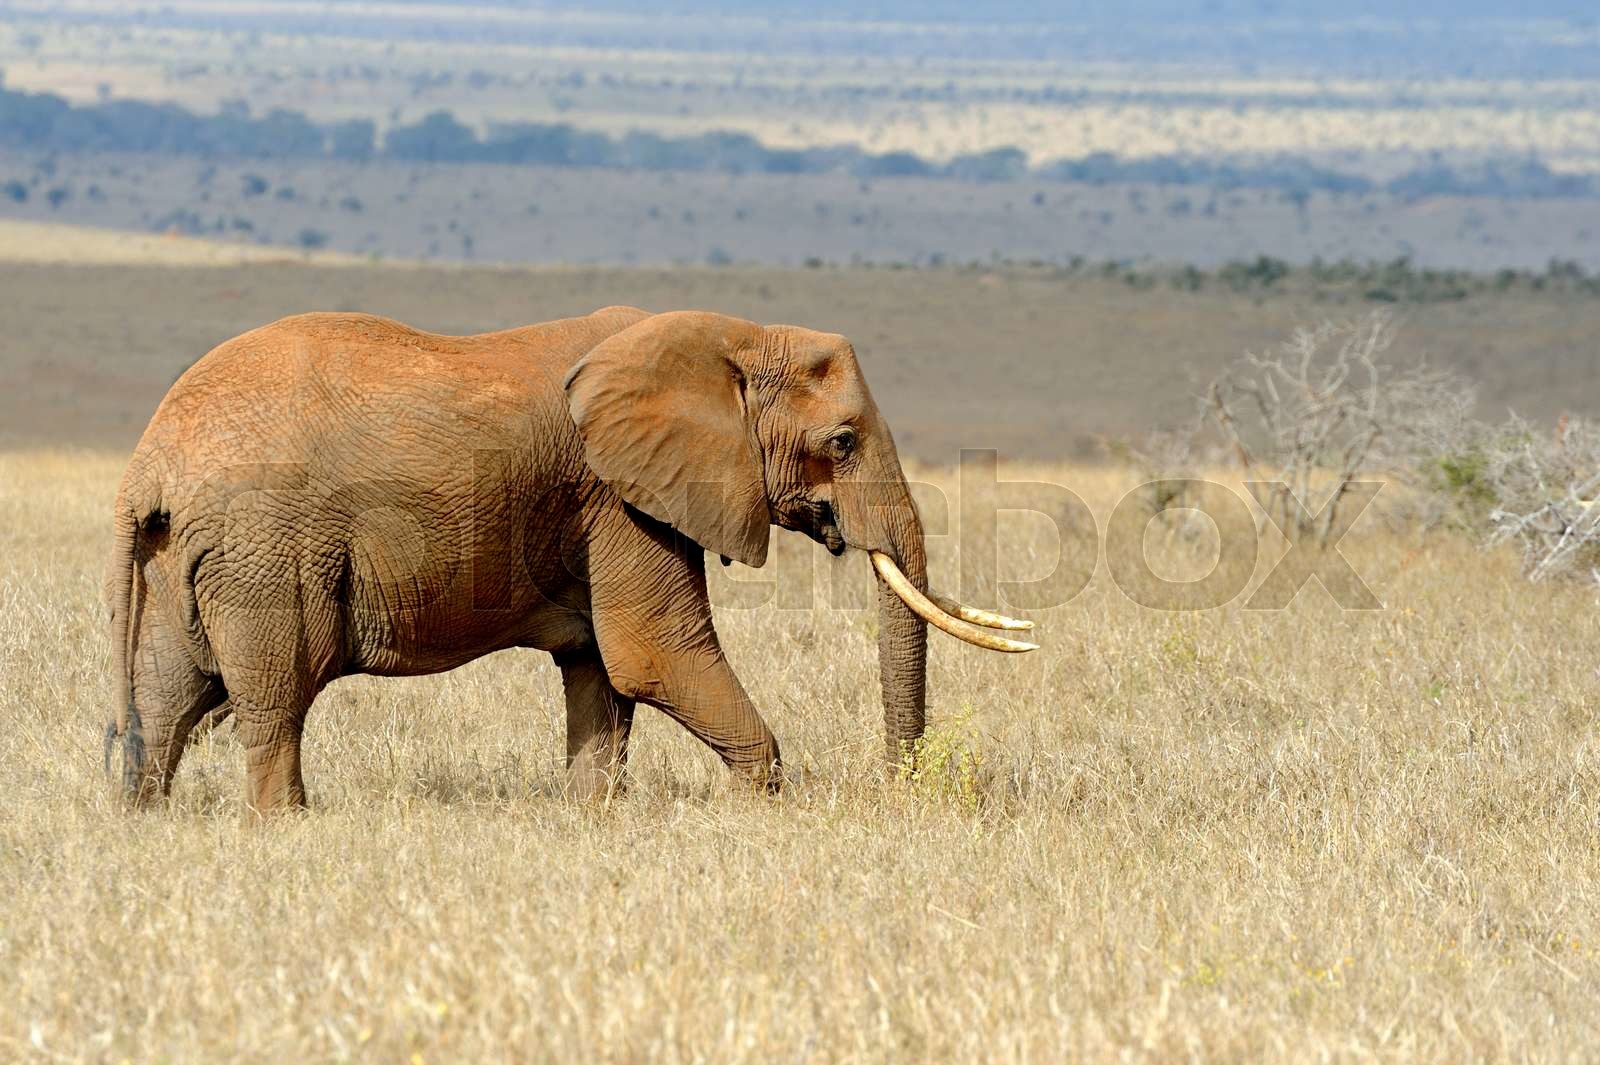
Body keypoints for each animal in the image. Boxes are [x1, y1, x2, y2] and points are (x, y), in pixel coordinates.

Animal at [105, 305, 1036, 811]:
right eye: (840, 442)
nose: (900, 788)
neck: (733, 335)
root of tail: (151, 458)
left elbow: (603, 676)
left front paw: (595, 818)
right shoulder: (619, 496)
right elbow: (655, 655)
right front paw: (759, 809)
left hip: (182, 556)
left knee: (166, 695)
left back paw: (143, 819)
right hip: (264, 550)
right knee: (274, 701)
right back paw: (286, 826)